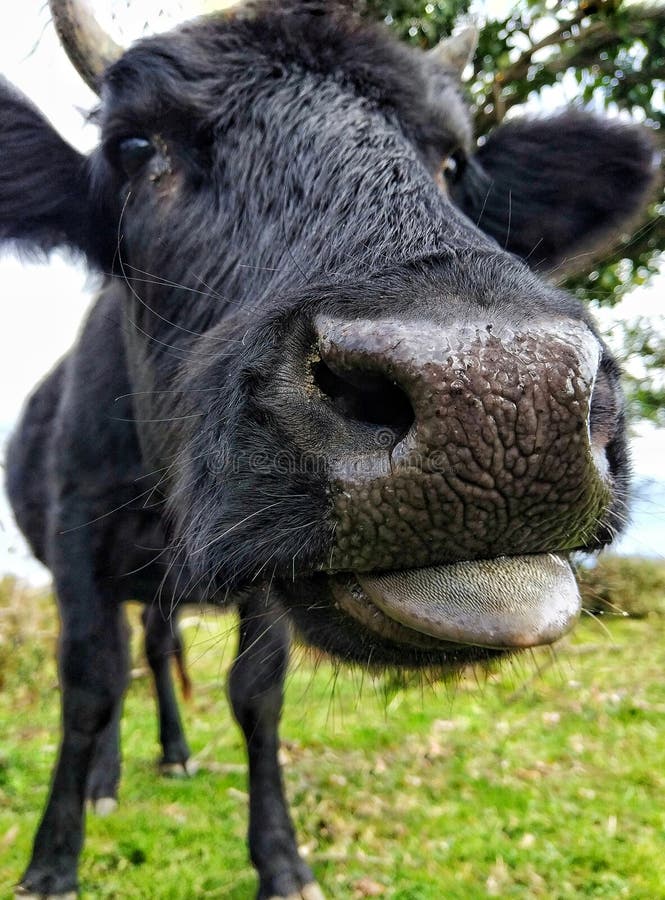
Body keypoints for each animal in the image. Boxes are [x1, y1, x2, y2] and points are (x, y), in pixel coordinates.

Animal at [1, 0, 656, 897]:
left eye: (452, 161)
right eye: (136, 148)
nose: (499, 395)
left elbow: (256, 695)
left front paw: (281, 860)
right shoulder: (74, 538)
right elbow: (89, 687)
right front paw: (52, 861)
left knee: (160, 646)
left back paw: (172, 757)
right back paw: (106, 780)